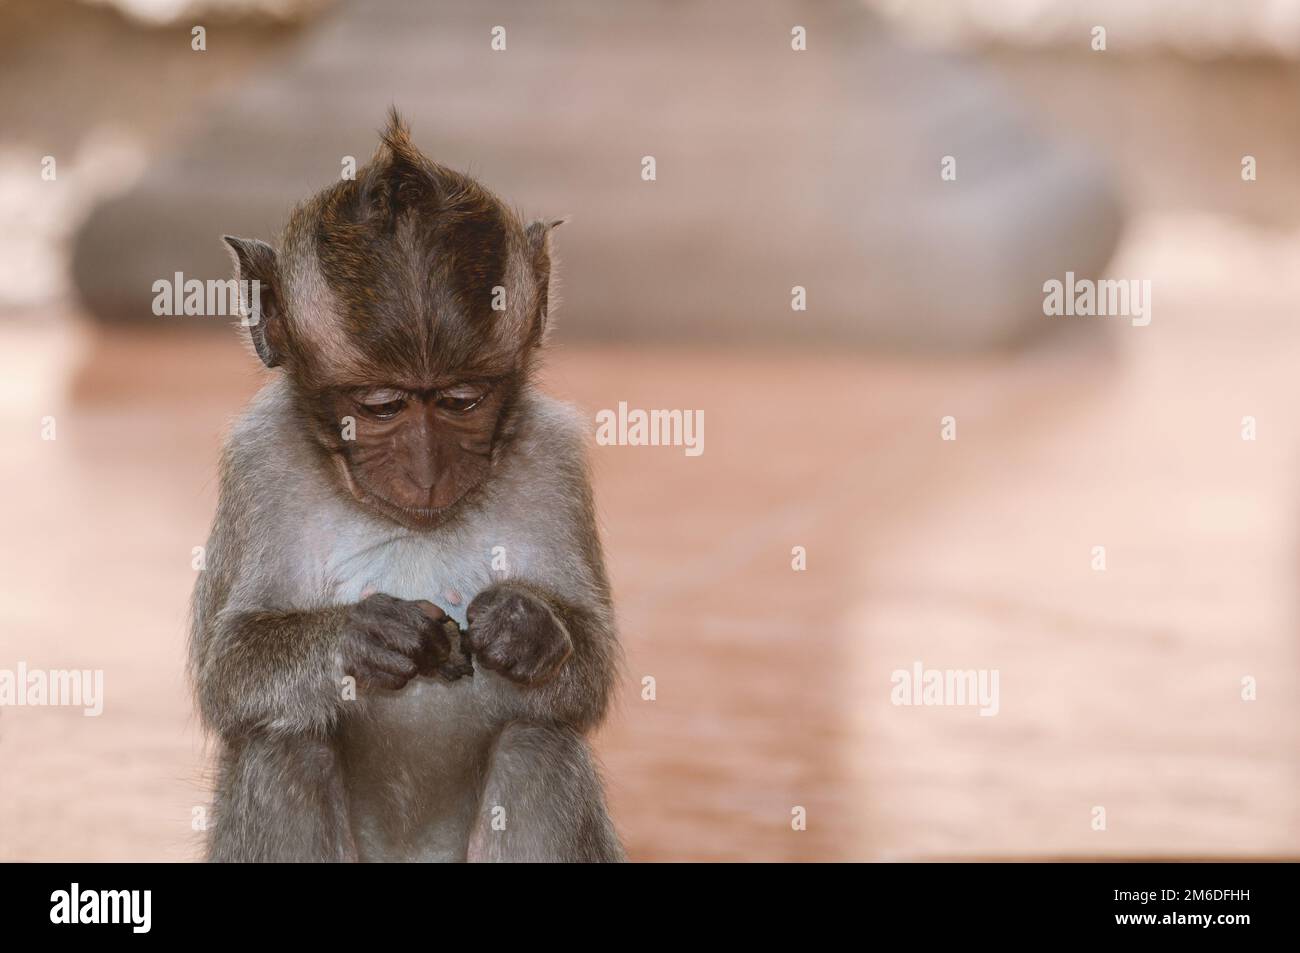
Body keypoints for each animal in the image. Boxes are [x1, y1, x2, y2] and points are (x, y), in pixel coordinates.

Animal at [188, 109, 624, 862]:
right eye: (382, 406)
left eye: (461, 400)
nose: (426, 470)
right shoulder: (257, 463)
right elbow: (228, 670)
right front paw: (364, 637)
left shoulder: (554, 460)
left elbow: (588, 668)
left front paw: (527, 628)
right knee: (283, 744)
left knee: (537, 743)